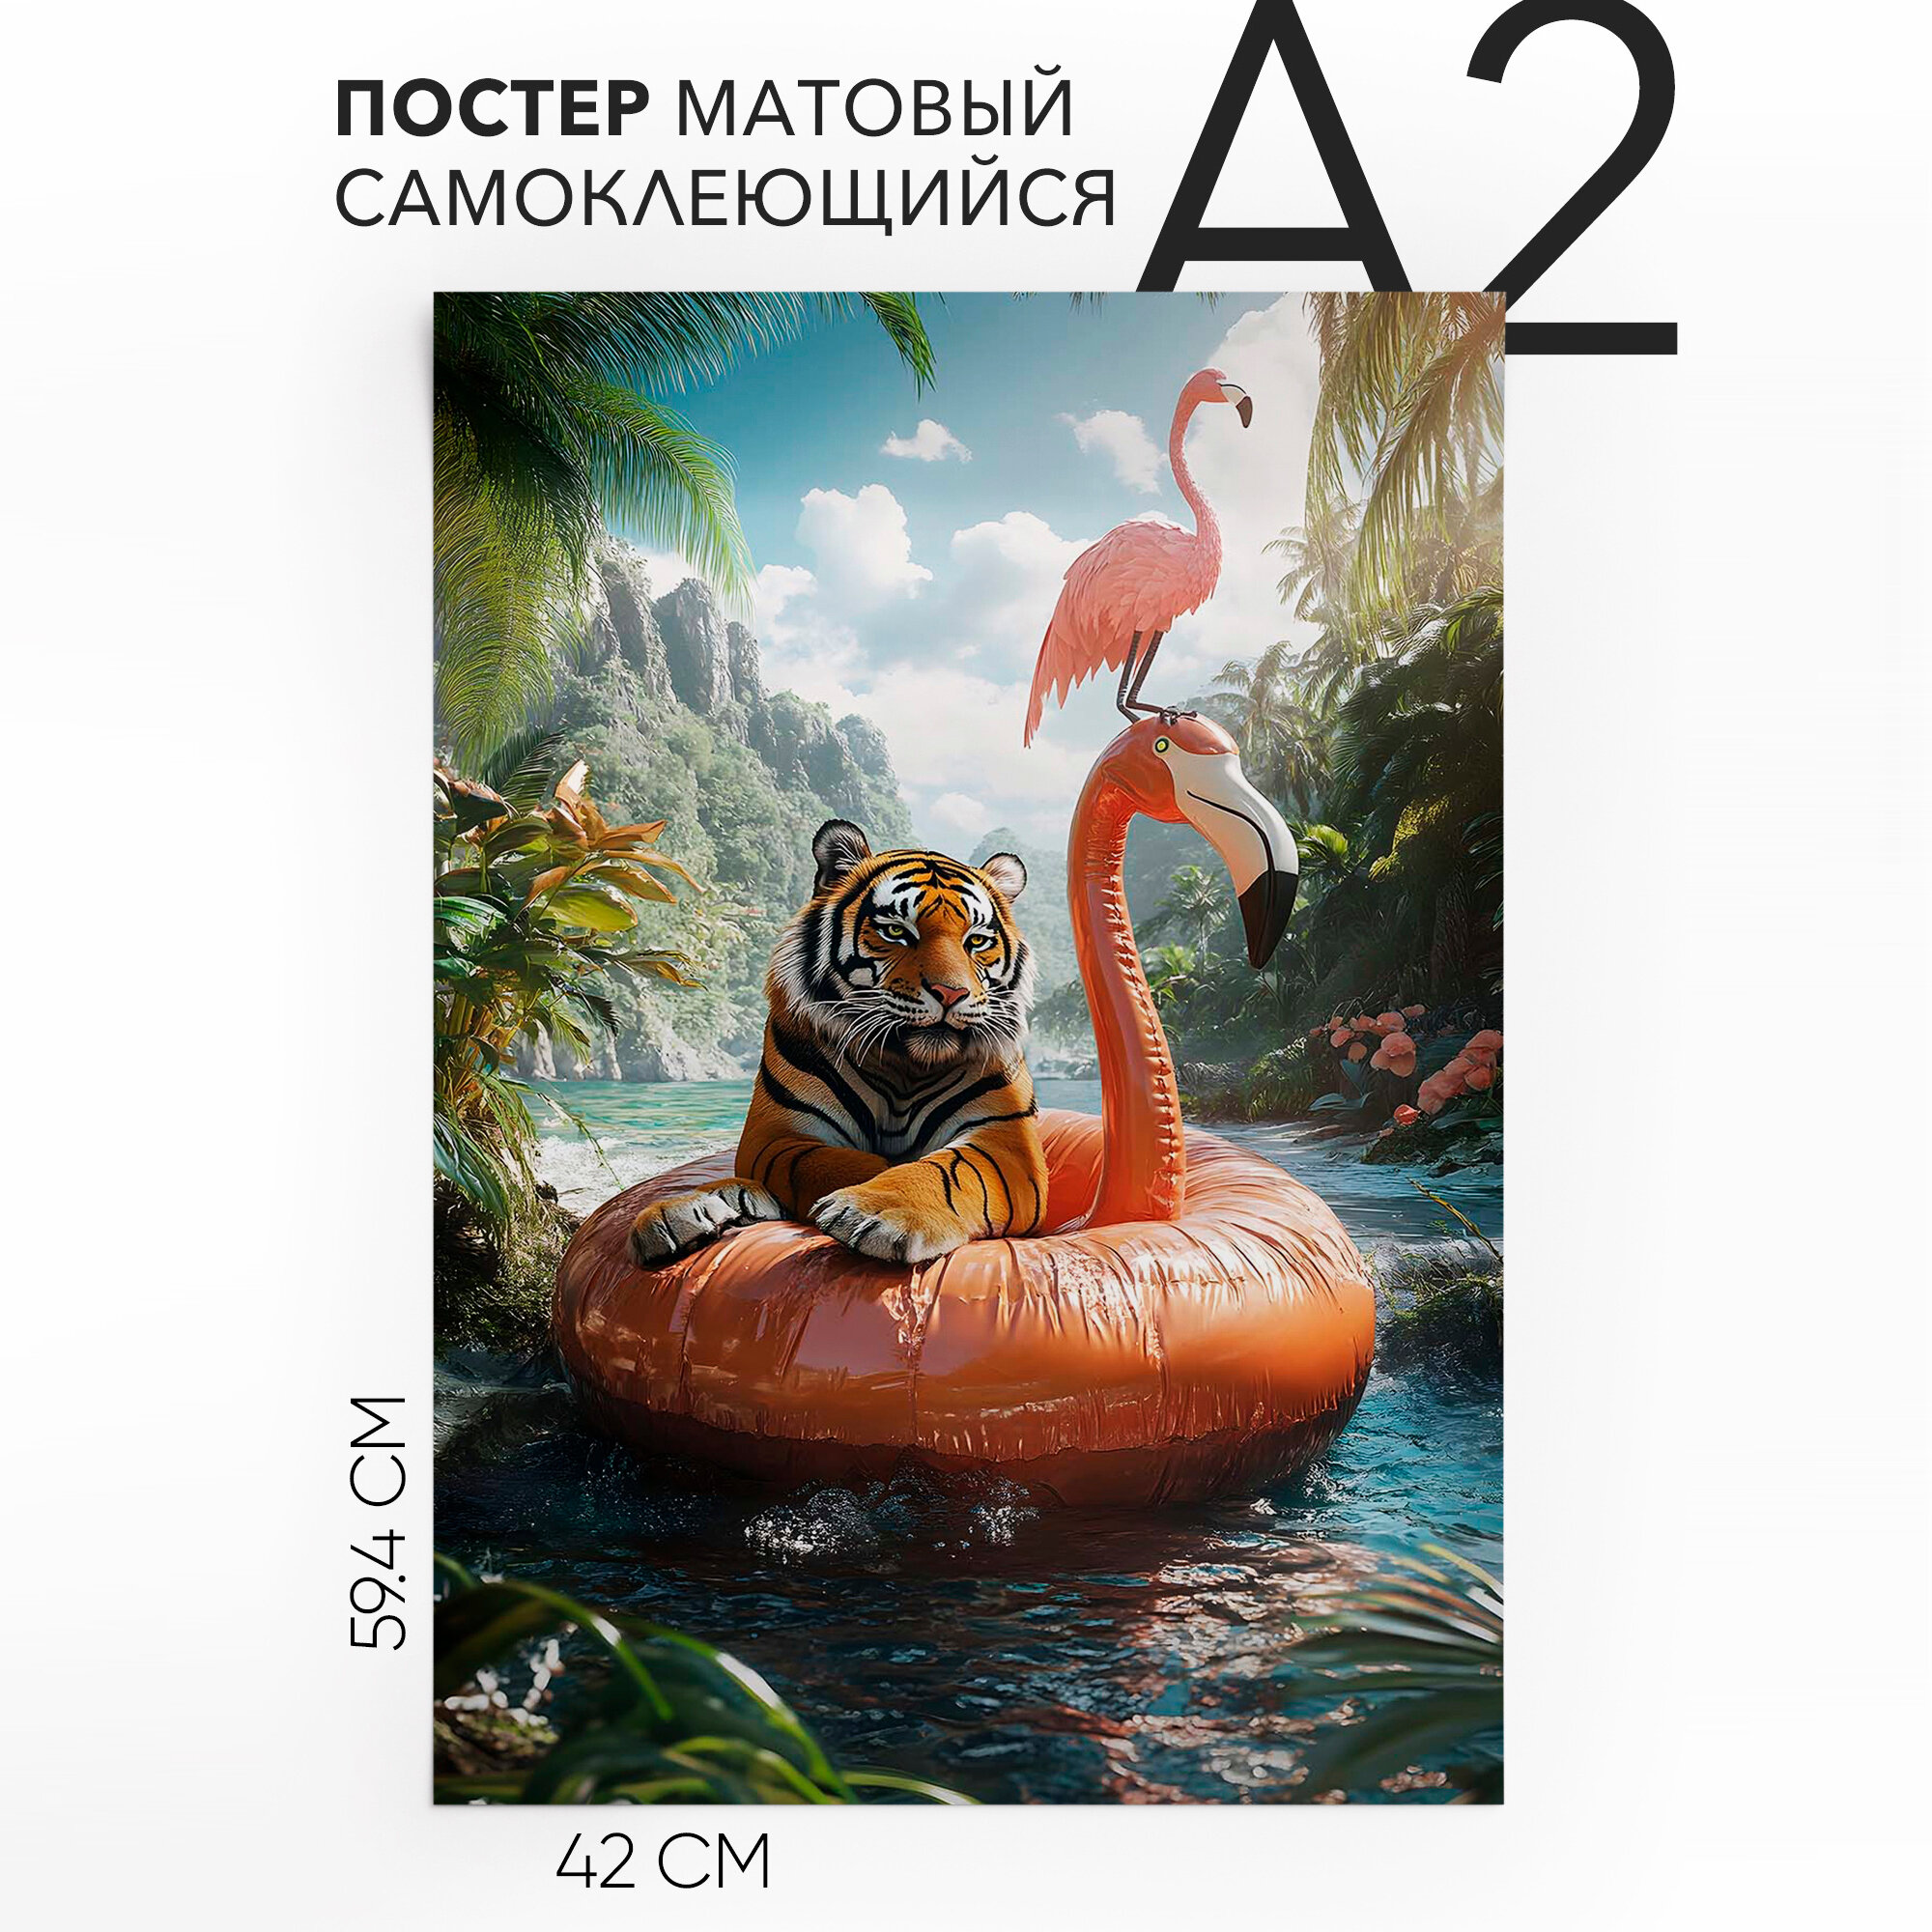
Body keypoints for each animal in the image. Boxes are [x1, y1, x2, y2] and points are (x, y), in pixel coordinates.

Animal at [629, 818, 1048, 1267]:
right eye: (896, 931)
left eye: (977, 940)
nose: (951, 993)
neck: (907, 1064)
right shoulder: (779, 1135)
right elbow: (832, 1163)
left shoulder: (1004, 1141)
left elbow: (944, 1169)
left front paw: (875, 1212)